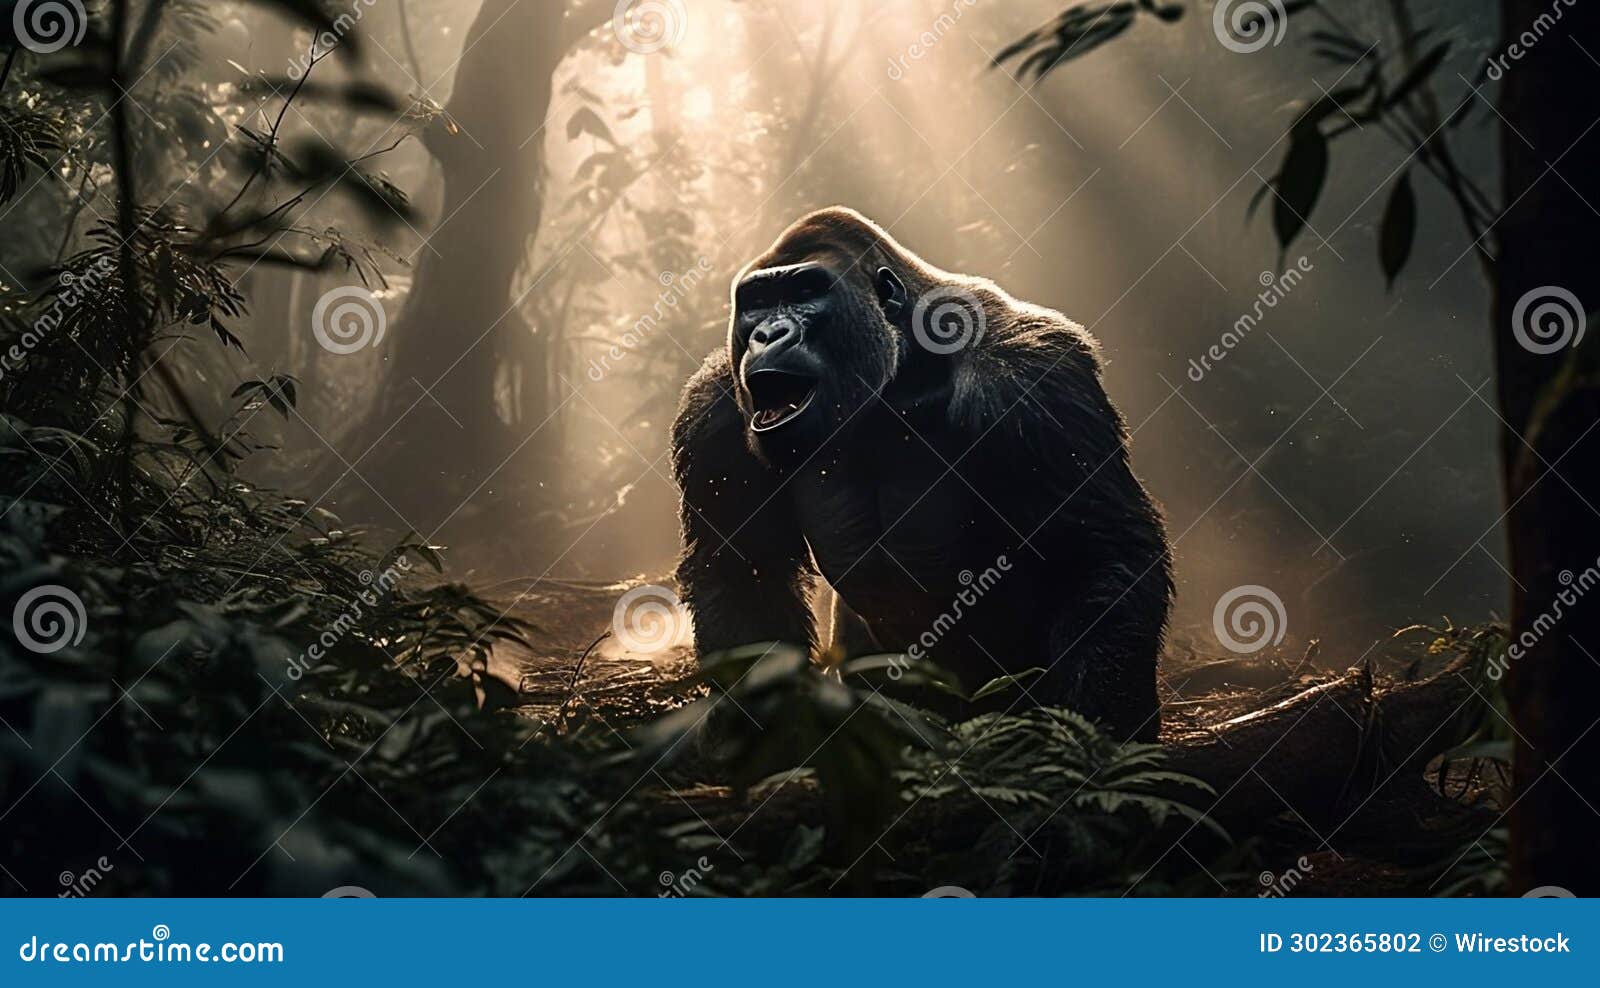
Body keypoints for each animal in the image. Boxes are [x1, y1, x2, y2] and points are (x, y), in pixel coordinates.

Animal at [671, 207, 1171, 741]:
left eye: (806, 292)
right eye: (758, 303)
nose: (768, 334)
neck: (903, 366)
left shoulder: (1036, 374)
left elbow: (1095, 553)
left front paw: (1099, 727)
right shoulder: (715, 405)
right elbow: (742, 567)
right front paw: (762, 720)